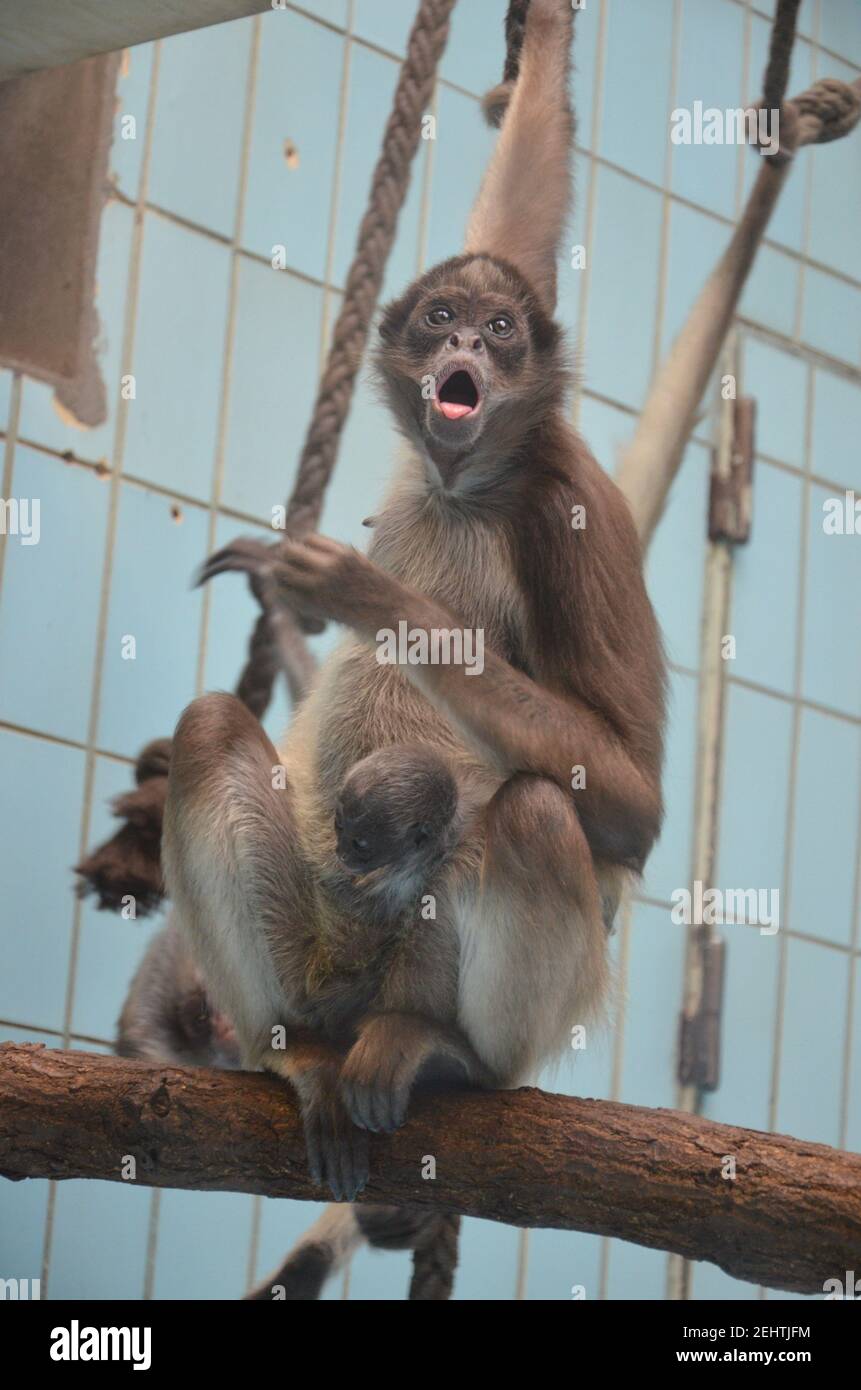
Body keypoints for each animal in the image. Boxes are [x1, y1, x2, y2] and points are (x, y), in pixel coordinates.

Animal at [161, 0, 666, 1219]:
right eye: (442, 316)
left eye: (500, 332)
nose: (464, 350)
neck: (468, 484)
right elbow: (520, 201)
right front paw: (545, 42)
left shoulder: (576, 501)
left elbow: (633, 802)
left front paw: (357, 590)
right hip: (315, 942)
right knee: (209, 729)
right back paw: (296, 1048)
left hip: (434, 958)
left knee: (533, 816)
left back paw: (447, 1055)